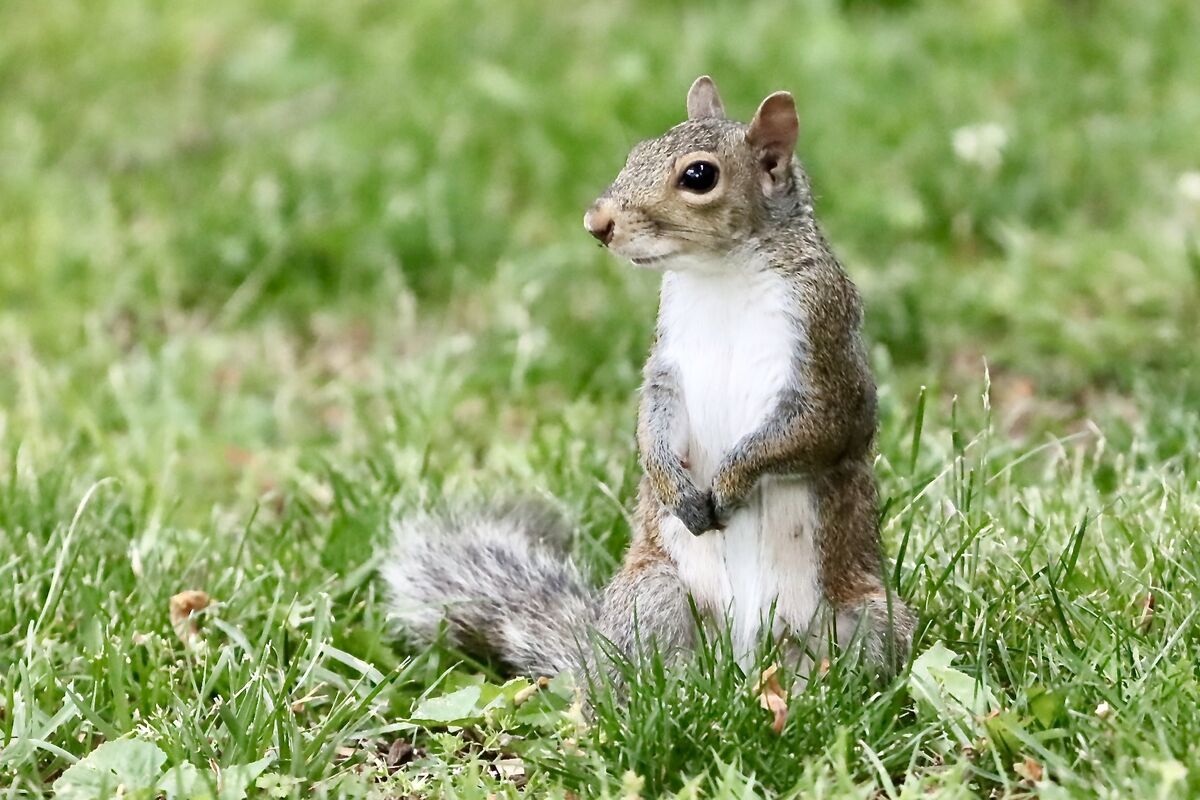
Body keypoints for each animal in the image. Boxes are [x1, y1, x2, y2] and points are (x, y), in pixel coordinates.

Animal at [381, 76, 913, 682]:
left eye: (699, 176)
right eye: (635, 153)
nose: (597, 224)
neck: (721, 275)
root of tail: (744, 668)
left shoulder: (825, 355)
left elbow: (814, 429)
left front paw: (731, 479)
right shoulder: (669, 363)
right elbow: (653, 419)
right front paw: (674, 487)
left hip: (868, 618)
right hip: (653, 594)